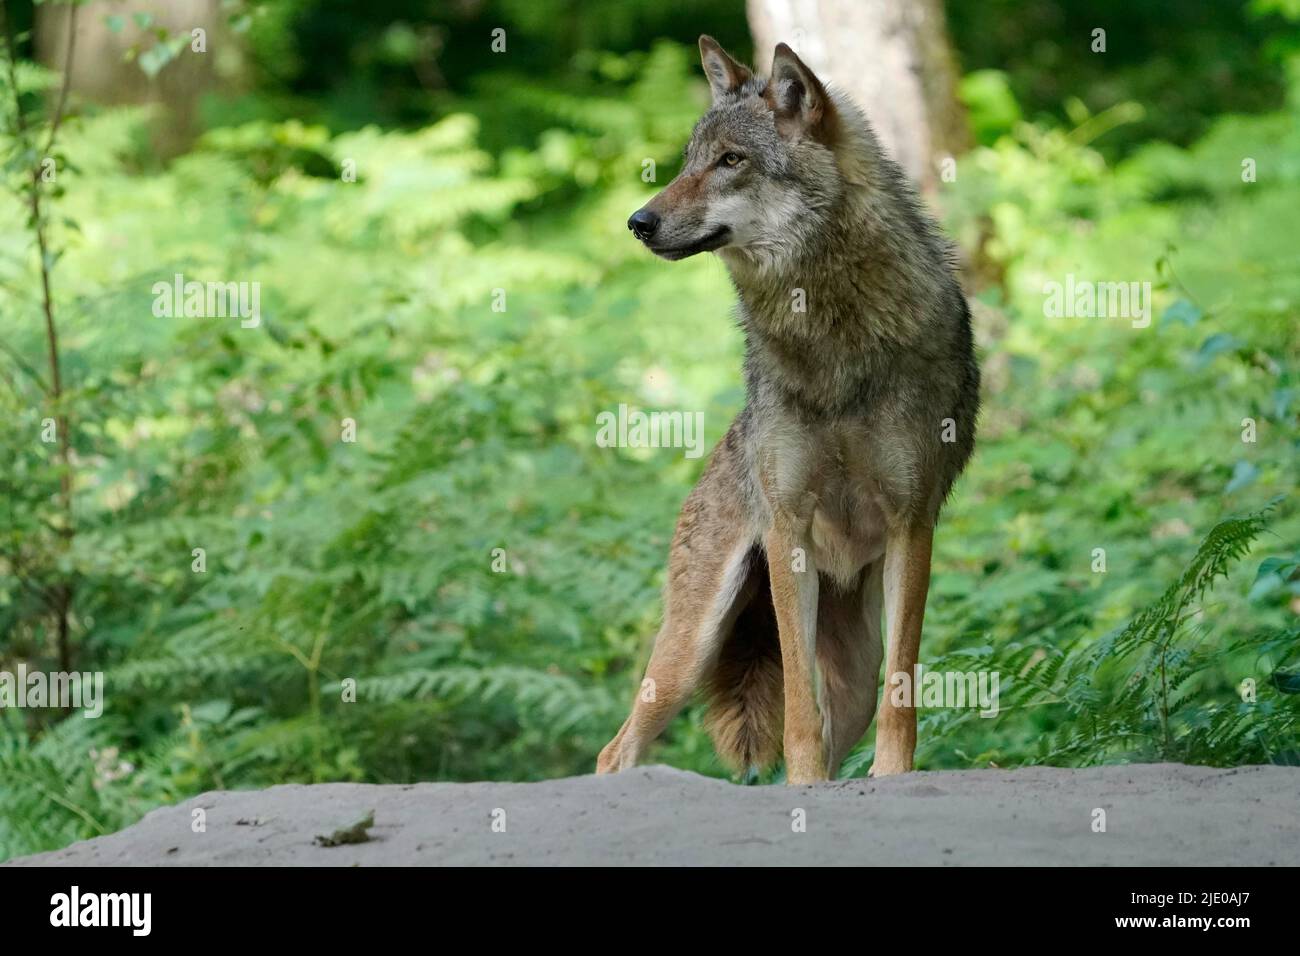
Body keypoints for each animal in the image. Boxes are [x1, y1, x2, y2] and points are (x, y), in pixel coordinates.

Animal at [596, 36, 979, 782]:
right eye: (689, 161)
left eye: (731, 161)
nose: (638, 222)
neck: (826, 338)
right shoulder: (788, 527)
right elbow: (799, 708)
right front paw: (803, 786)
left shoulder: (912, 524)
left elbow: (903, 692)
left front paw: (892, 777)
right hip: (688, 650)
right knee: (614, 750)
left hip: (851, 674)